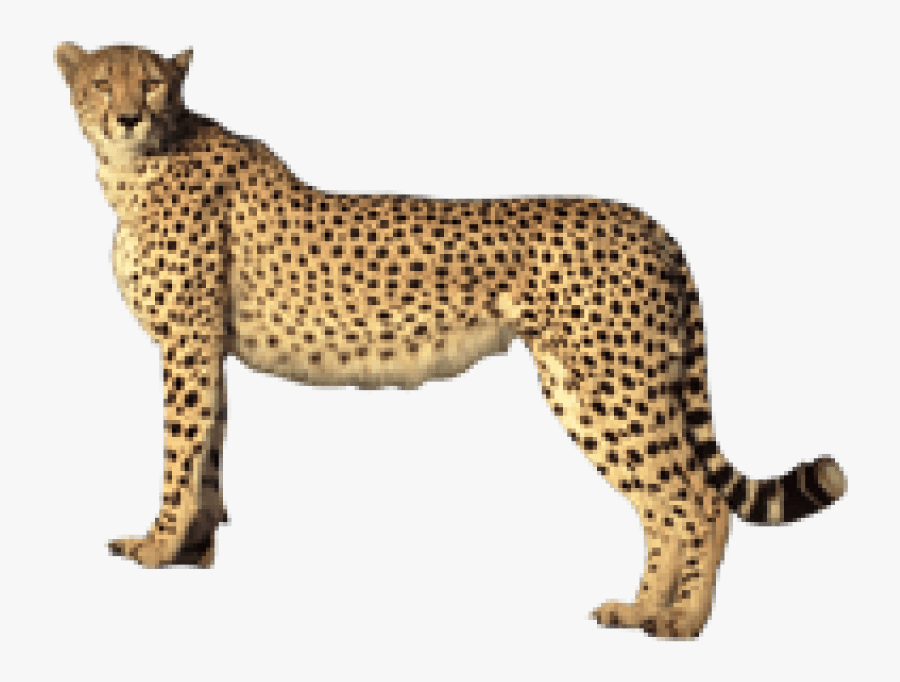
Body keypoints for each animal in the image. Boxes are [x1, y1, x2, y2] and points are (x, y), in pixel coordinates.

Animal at [55, 42, 847, 639]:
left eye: (151, 82)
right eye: (101, 81)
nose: (127, 116)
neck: (139, 164)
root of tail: (649, 223)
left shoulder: (185, 345)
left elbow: (177, 451)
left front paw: (157, 545)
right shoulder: (206, 349)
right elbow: (209, 450)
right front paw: (193, 549)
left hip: (616, 387)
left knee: (698, 502)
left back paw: (682, 624)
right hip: (585, 389)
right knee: (662, 507)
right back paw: (641, 609)